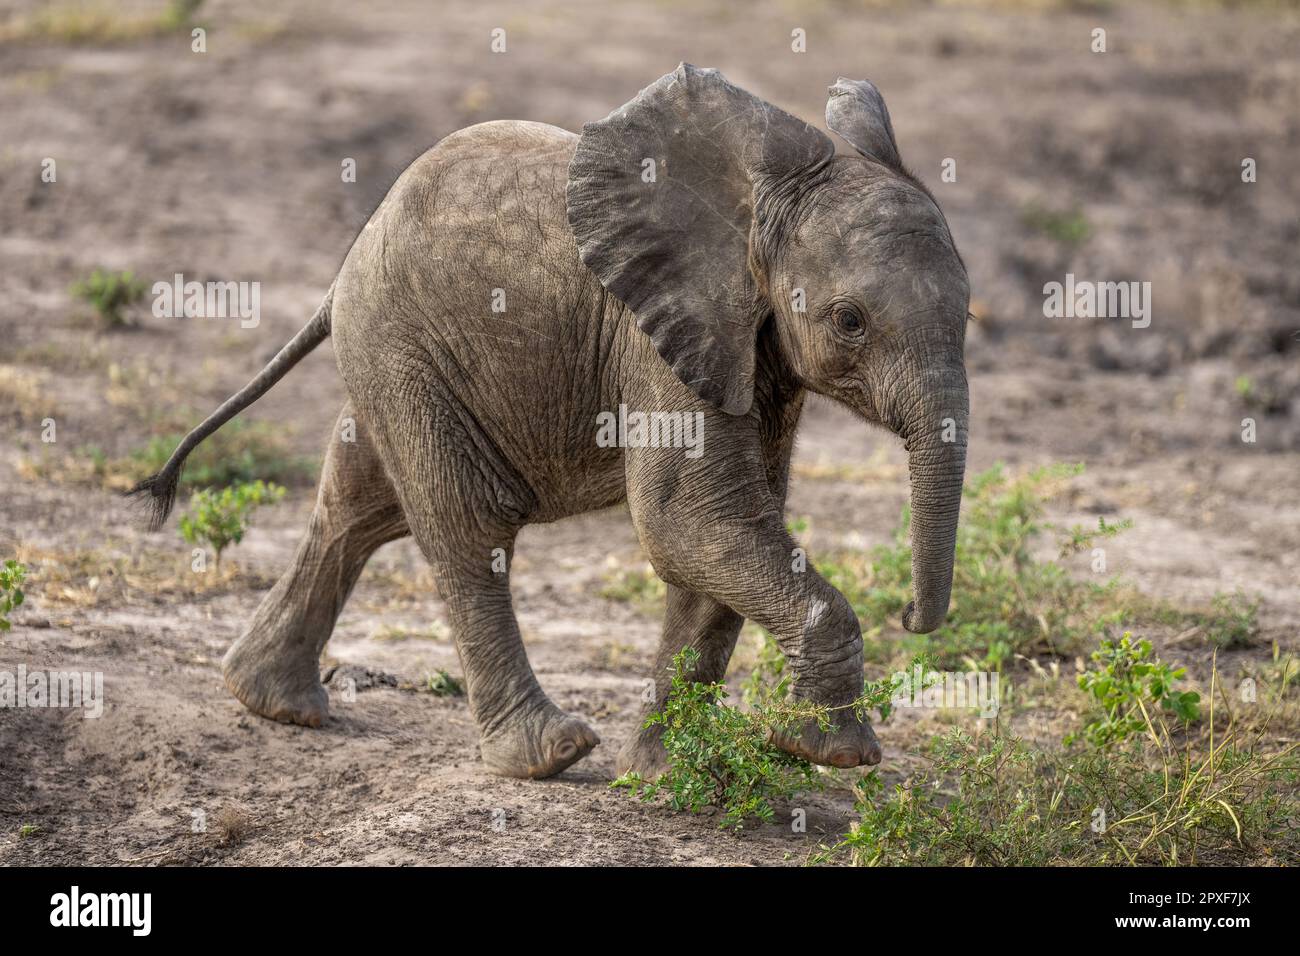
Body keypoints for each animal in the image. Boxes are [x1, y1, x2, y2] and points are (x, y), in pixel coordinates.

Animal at [129, 64, 970, 781]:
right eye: (850, 321)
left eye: (968, 312)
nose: (910, 614)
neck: (756, 206)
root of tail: (342, 272)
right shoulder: (656, 335)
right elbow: (690, 520)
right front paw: (829, 752)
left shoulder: (749, 349)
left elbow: (718, 545)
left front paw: (666, 774)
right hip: (403, 347)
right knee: (468, 526)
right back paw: (546, 754)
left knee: (358, 503)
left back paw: (269, 701)